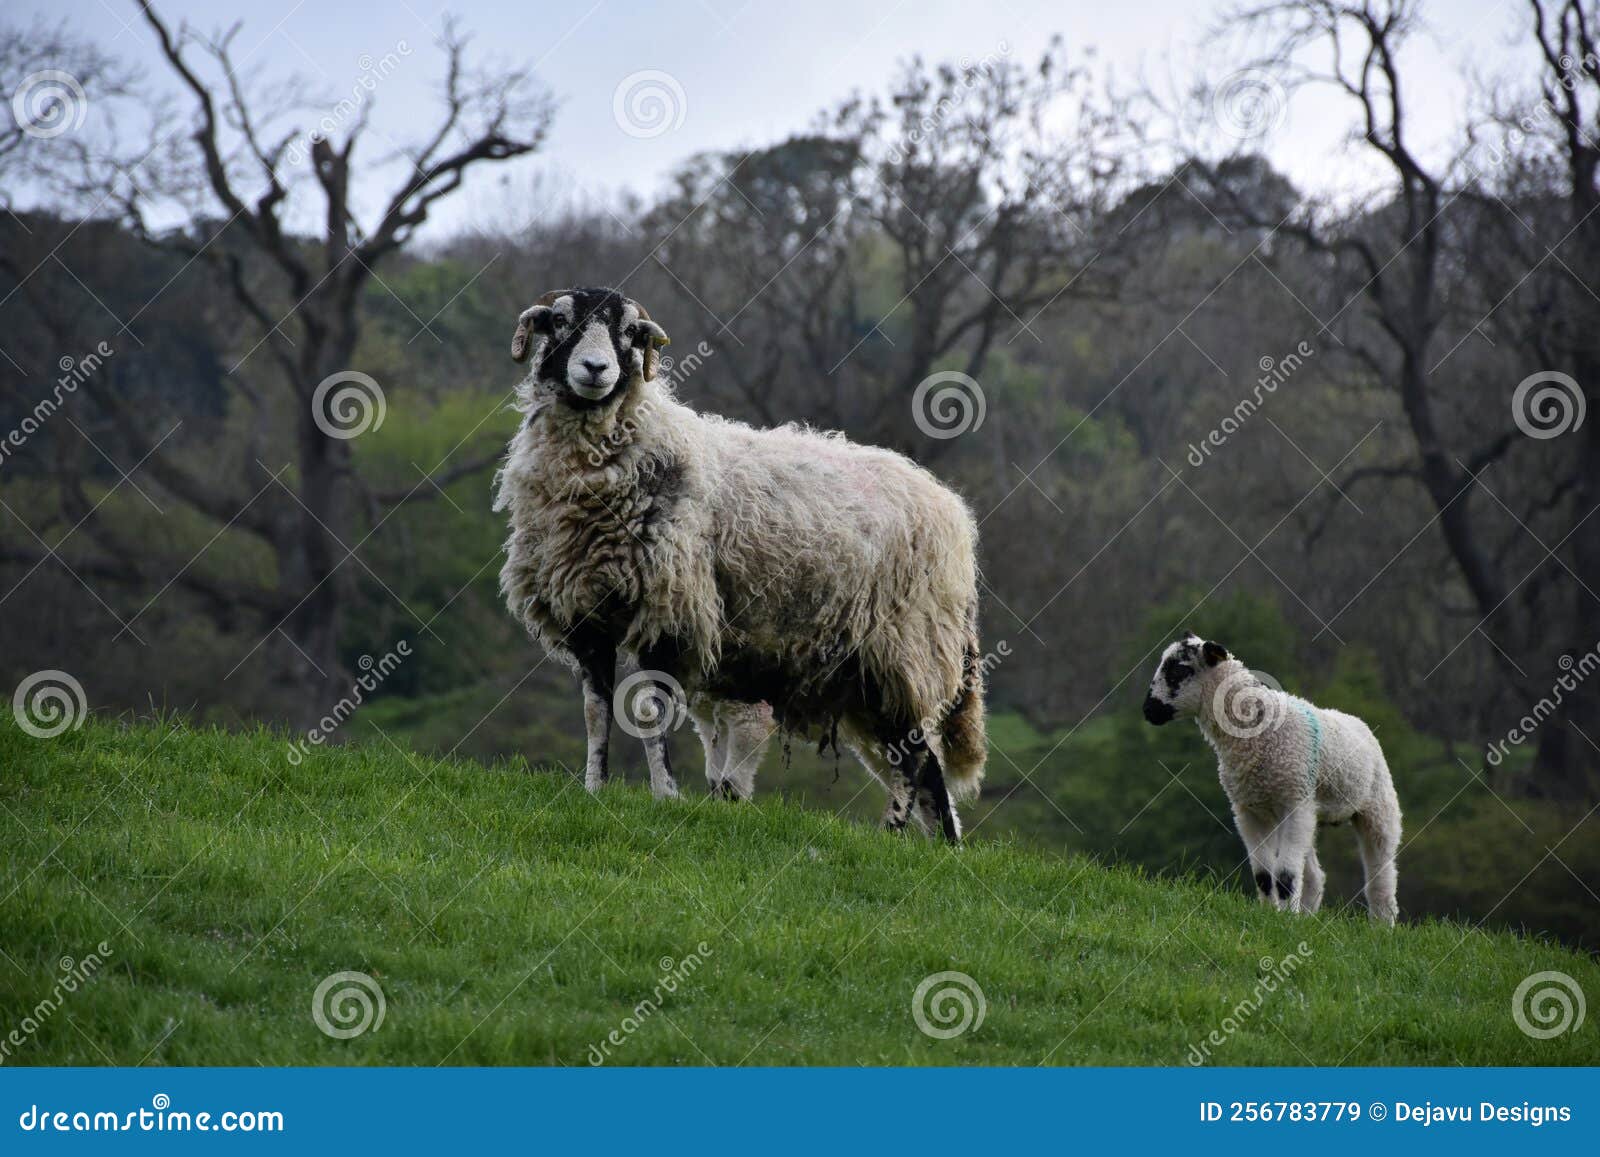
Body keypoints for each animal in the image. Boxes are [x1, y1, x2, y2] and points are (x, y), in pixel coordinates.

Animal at [493, 286, 987, 840]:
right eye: (560, 321)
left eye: (630, 333)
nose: (596, 369)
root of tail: (954, 512)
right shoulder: (588, 613)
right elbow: (596, 713)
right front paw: (593, 791)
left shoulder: (670, 612)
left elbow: (649, 712)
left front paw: (665, 796)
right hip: (865, 676)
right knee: (921, 765)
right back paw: (935, 847)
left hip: (902, 653)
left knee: (916, 762)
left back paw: (894, 836)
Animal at [1142, 633, 1401, 924]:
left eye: (1178, 670)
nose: (1148, 710)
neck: (1253, 737)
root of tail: (1359, 722)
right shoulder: (1249, 810)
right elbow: (1264, 875)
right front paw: (1269, 915)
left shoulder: (1294, 802)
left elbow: (1285, 875)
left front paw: (1284, 920)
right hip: (1307, 813)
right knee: (1315, 876)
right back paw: (1306, 918)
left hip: (1377, 808)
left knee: (1381, 878)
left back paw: (1382, 925)